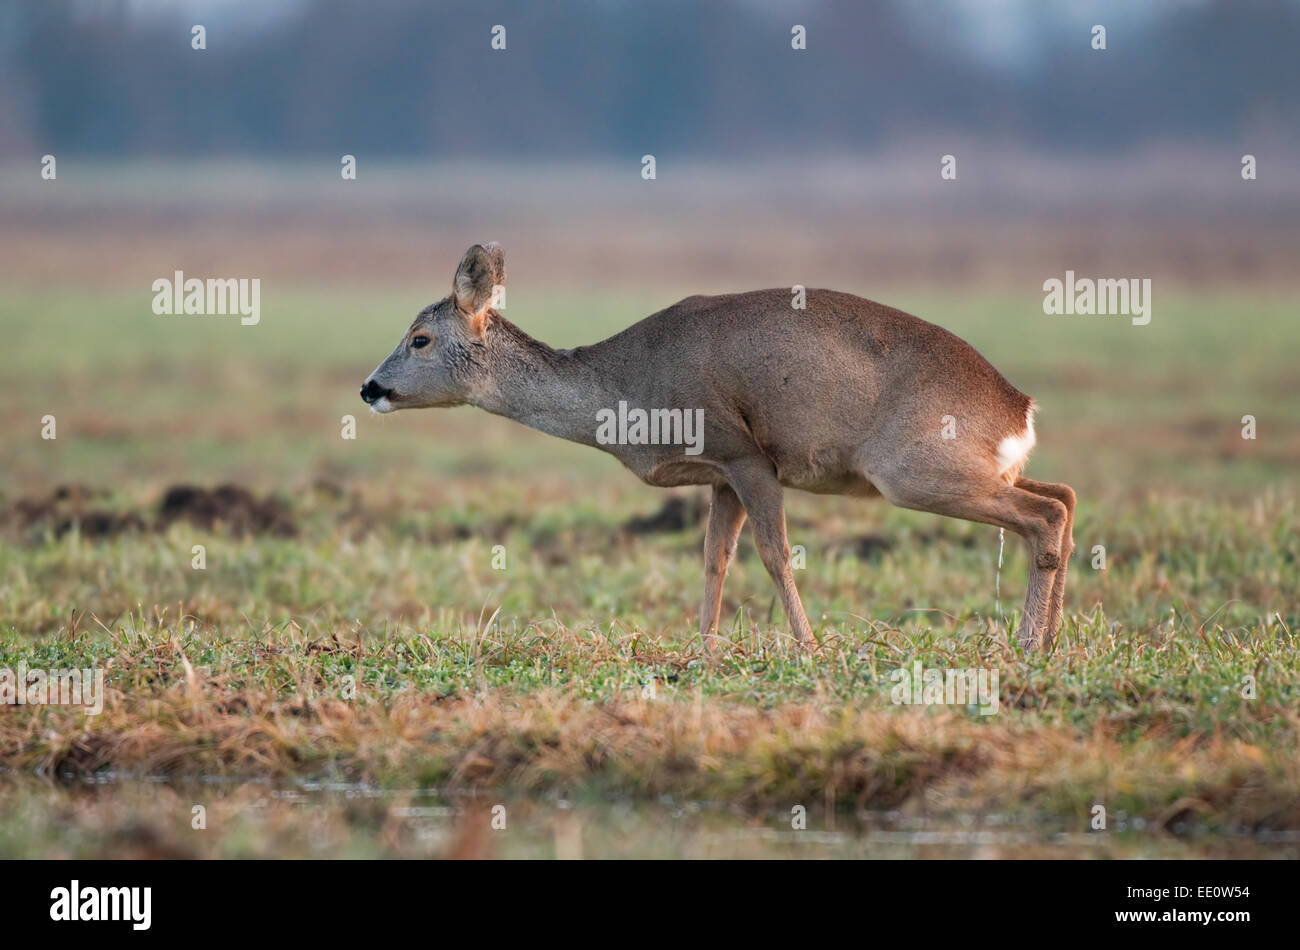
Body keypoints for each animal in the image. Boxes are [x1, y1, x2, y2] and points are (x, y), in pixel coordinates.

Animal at [361, 243, 1076, 652]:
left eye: (420, 337)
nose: (370, 387)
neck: (627, 390)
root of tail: (1019, 408)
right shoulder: (719, 476)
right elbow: (714, 559)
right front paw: (702, 649)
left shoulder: (745, 454)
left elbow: (774, 554)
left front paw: (808, 648)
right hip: (972, 468)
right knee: (1064, 498)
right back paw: (1046, 642)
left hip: (912, 469)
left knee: (1045, 514)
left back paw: (1027, 645)